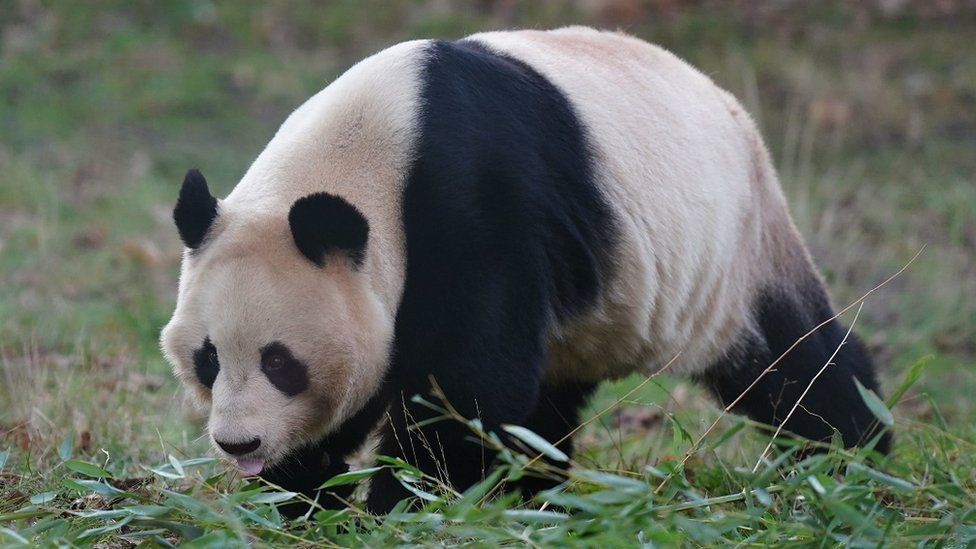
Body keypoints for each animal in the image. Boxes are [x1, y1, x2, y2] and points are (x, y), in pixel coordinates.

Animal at [160, 27, 889, 514]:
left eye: (281, 361)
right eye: (208, 359)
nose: (237, 441)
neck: (372, 148)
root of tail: (729, 105)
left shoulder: (475, 206)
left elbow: (468, 385)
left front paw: (404, 504)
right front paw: (304, 498)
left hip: (732, 249)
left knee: (796, 365)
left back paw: (854, 461)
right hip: (597, 311)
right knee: (550, 401)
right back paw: (538, 497)